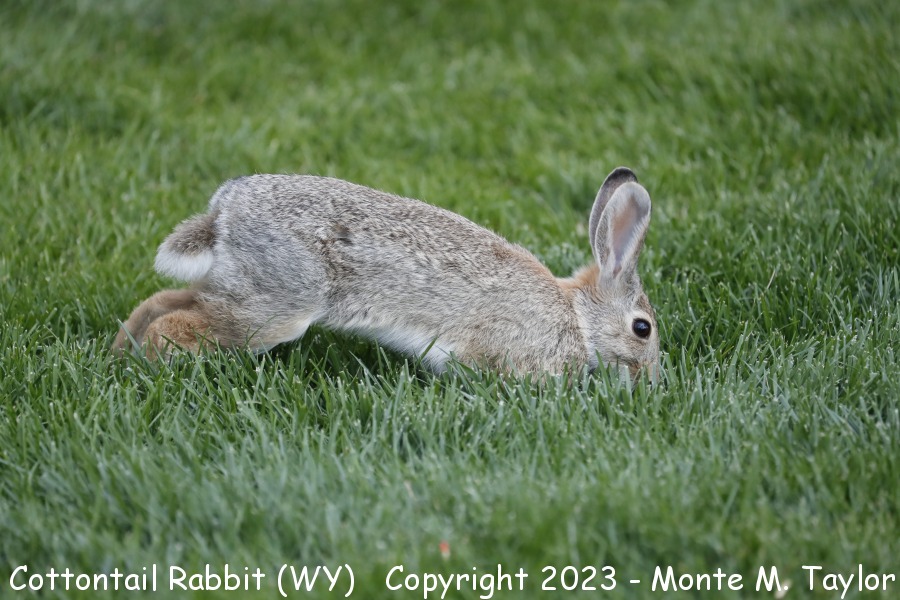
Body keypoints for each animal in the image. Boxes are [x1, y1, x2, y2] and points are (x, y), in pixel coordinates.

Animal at [112, 167, 659, 380]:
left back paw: (121, 353)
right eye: (643, 328)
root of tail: (225, 209)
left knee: (161, 303)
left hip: (240, 285)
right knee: (177, 322)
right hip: (274, 308)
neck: (579, 318)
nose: (651, 379)